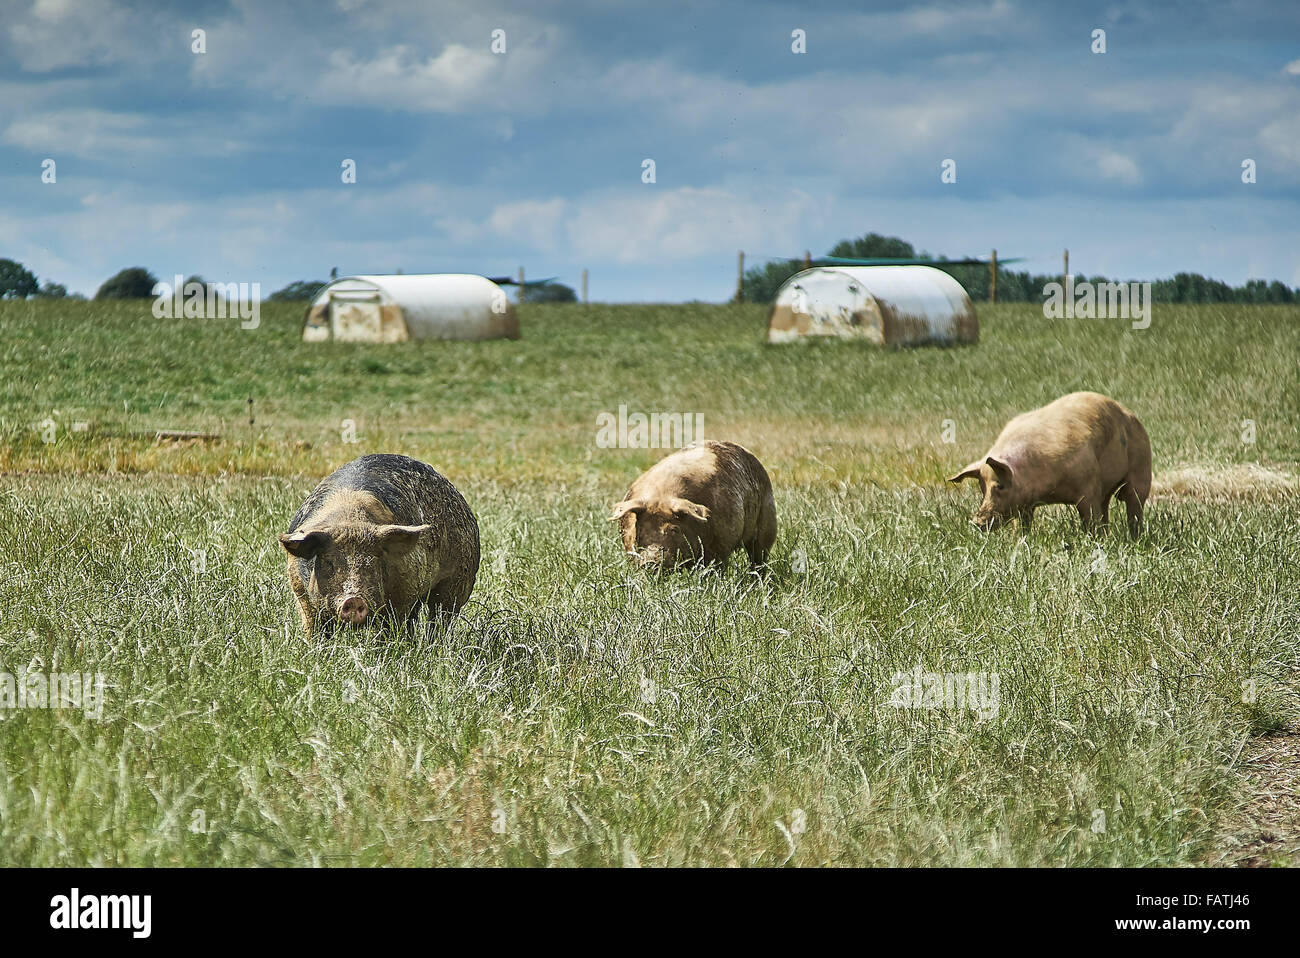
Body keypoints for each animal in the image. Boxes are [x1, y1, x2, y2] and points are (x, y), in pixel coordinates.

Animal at [278, 454, 480, 637]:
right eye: (329, 562)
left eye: (372, 562)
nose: (354, 600)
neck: (350, 518)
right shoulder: (299, 590)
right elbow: (313, 628)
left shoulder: (403, 593)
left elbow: (392, 627)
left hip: (459, 582)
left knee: (440, 617)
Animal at [610, 440, 777, 572]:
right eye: (641, 530)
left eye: (674, 529)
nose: (651, 561)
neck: (662, 496)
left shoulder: (721, 545)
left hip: (768, 520)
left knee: (759, 555)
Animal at [947, 391, 1152, 537]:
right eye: (981, 487)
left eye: (1000, 485)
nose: (976, 522)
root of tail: (1131, 414)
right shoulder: (1025, 503)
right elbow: (1021, 524)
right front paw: (1017, 542)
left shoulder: (1088, 485)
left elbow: (1090, 516)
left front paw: (1094, 540)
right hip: (1108, 488)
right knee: (1106, 507)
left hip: (1142, 467)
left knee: (1134, 505)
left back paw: (1134, 537)